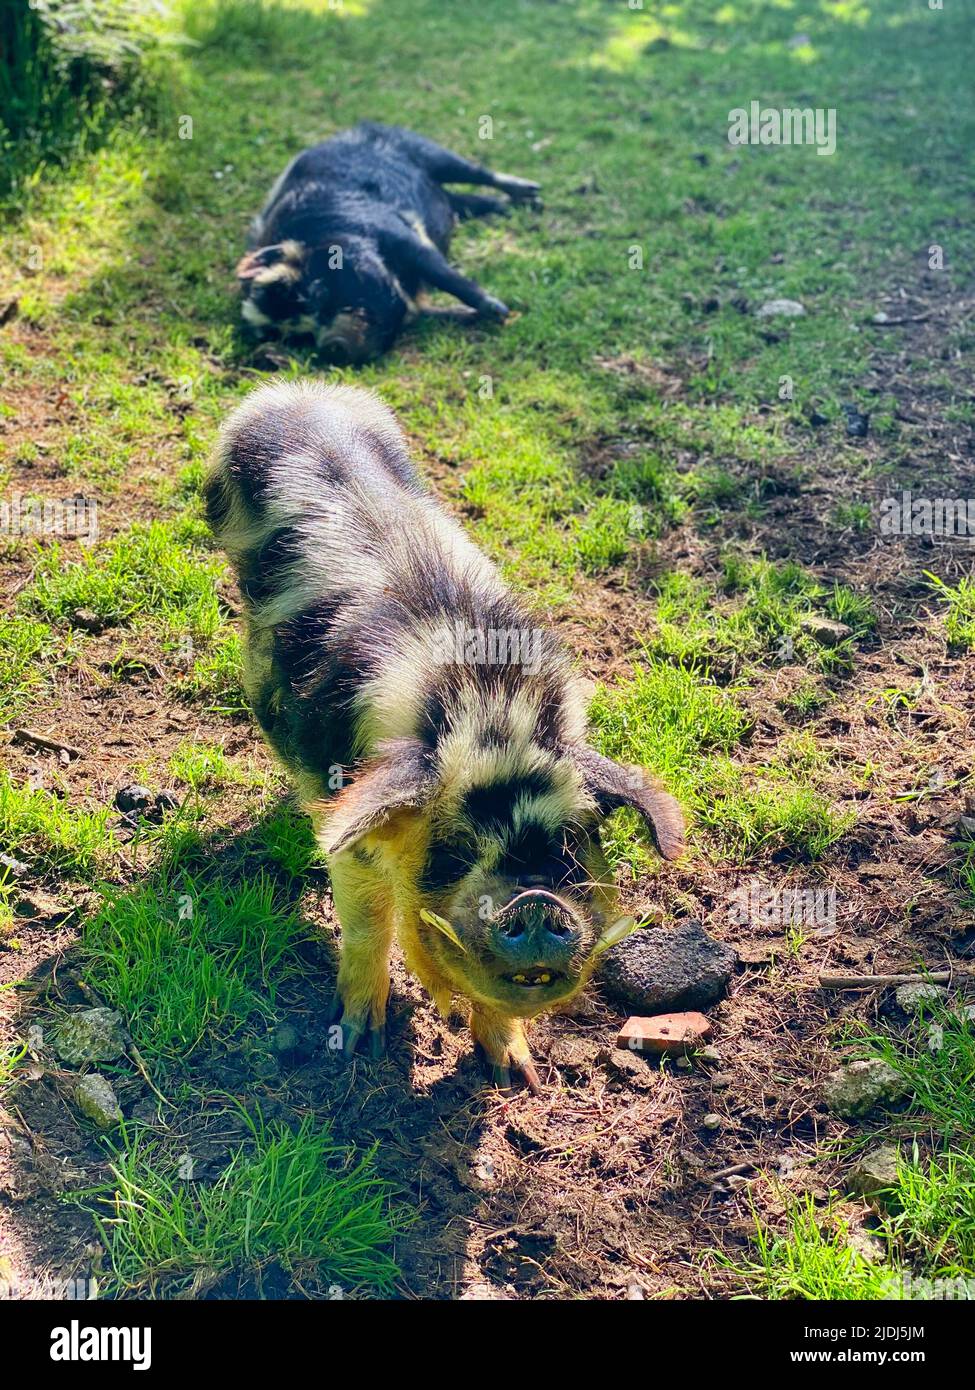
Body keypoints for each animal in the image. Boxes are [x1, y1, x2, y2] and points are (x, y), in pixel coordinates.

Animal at [204, 382, 685, 1090]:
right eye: (456, 850)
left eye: (571, 845)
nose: (534, 900)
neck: (487, 703)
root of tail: (296, 392)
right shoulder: (353, 817)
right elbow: (369, 918)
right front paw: (358, 1043)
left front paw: (516, 1077)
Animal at [236, 122, 540, 363]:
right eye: (298, 337)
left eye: (317, 293)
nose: (334, 346)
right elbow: (429, 309)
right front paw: (474, 315)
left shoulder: (399, 234)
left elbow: (445, 275)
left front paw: (500, 311)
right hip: (451, 201)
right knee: (471, 201)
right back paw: (525, 206)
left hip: (424, 149)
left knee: (476, 172)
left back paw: (533, 191)